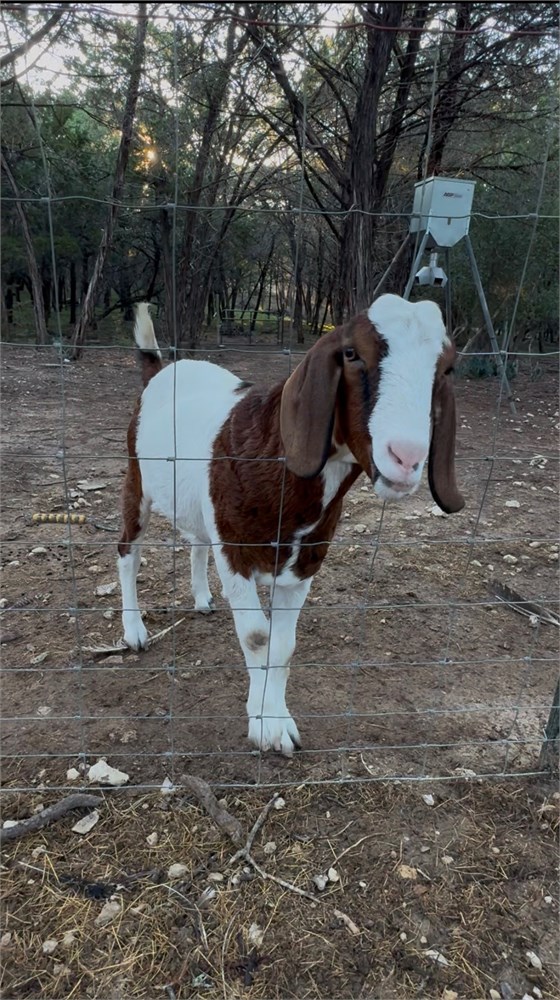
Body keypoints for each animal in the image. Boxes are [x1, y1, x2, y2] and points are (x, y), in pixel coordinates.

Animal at [118, 296, 464, 754]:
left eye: (446, 368)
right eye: (351, 353)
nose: (406, 457)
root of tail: (159, 370)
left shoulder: (304, 562)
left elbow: (283, 646)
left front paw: (279, 722)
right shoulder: (235, 551)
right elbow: (256, 637)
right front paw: (264, 729)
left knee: (196, 541)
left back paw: (202, 598)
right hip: (137, 479)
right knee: (128, 551)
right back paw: (135, 631)